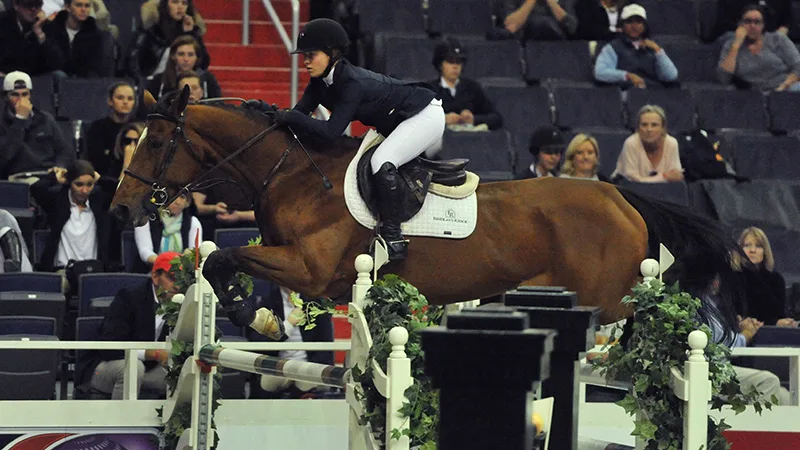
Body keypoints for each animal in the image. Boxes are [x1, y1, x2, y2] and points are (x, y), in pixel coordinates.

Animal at [110, 87, 738, 328]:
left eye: (158, 142)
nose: (119, 209)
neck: (293, 174)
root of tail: (619, 195)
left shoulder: (310, 269)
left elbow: (224, 259)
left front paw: (250, 315)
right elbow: (222, 259)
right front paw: (256, 314)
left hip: (606, 302)